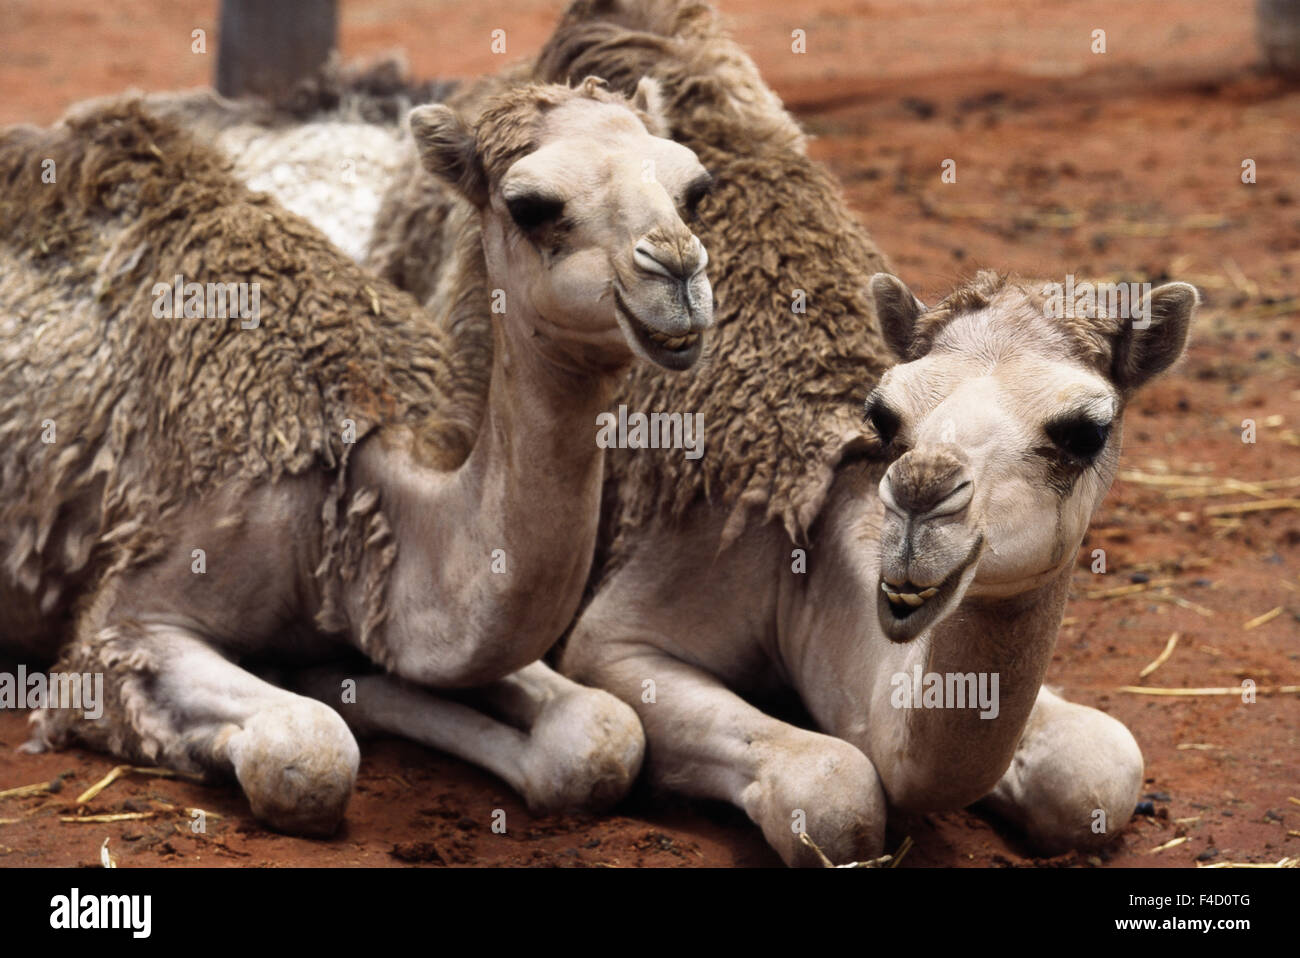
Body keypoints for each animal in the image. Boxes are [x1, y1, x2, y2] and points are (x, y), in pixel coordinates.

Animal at [0, 75, 714, 834]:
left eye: (696, 190)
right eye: (531, 206)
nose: (677, 268)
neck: (359, 495)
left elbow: (602, 732)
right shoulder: (129, 619)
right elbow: (309, 748)